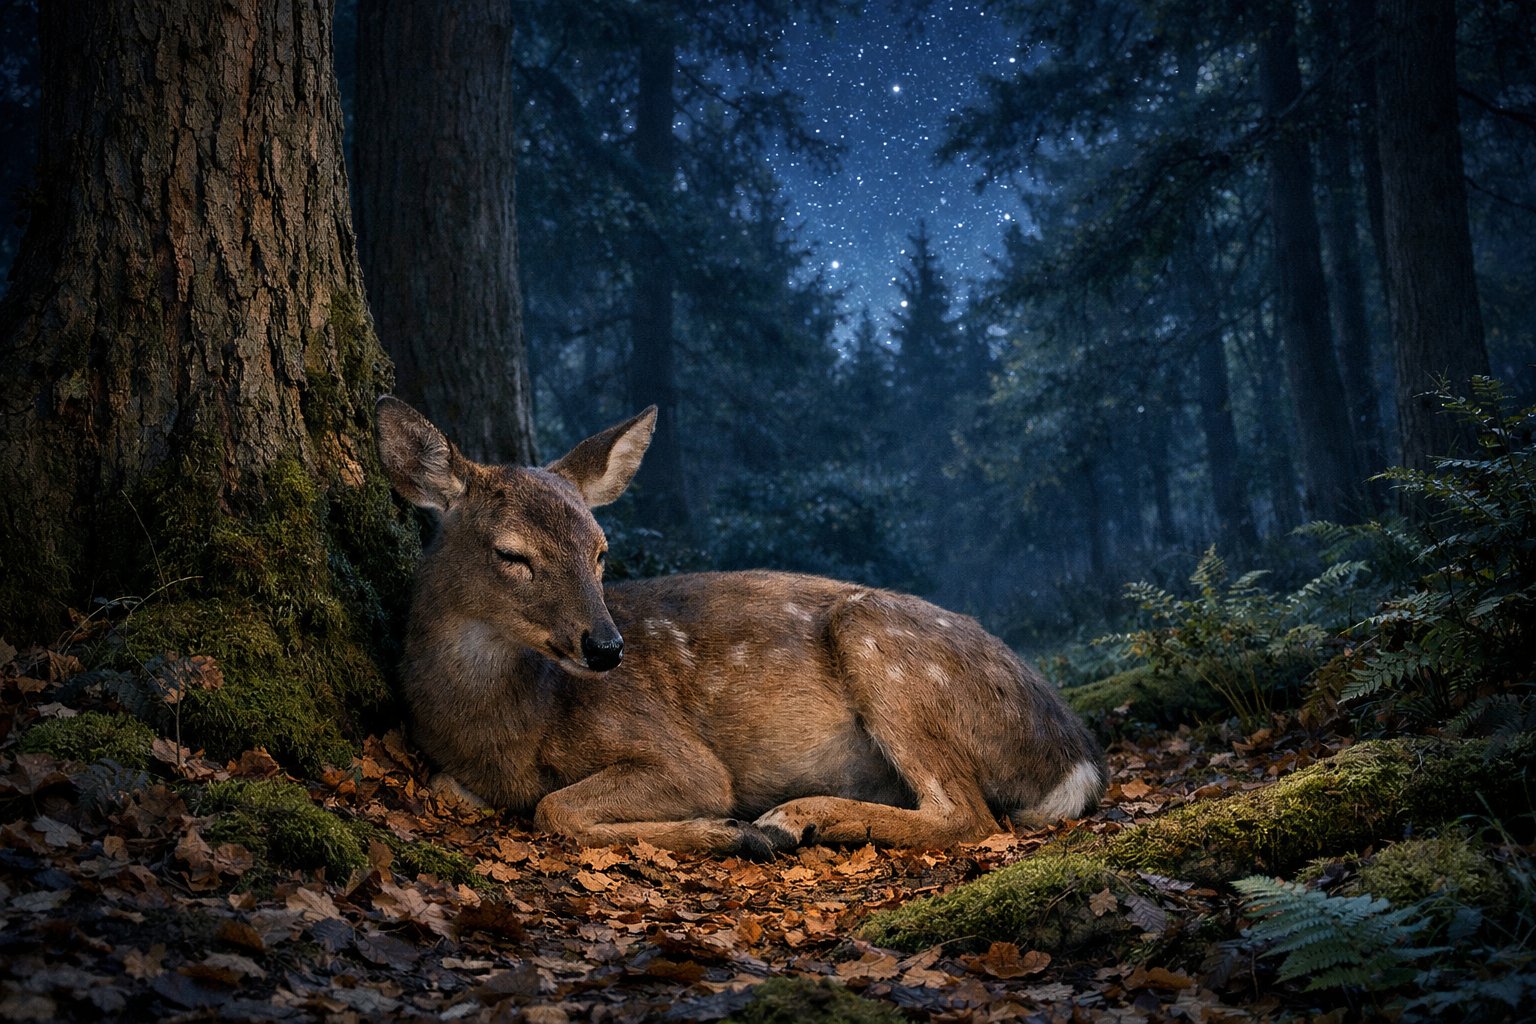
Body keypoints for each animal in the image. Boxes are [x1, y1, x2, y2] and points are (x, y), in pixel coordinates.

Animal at [376, 396, 1107, 856]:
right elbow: (474, 792)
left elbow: (554, 809)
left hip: (883, 642)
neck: (498, 729)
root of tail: (1077, 757)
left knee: (968, 815)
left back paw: (793, 819)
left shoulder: (679, 753)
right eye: (512, 554)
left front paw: (730, 829)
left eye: (601, 550)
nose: (607, 648)